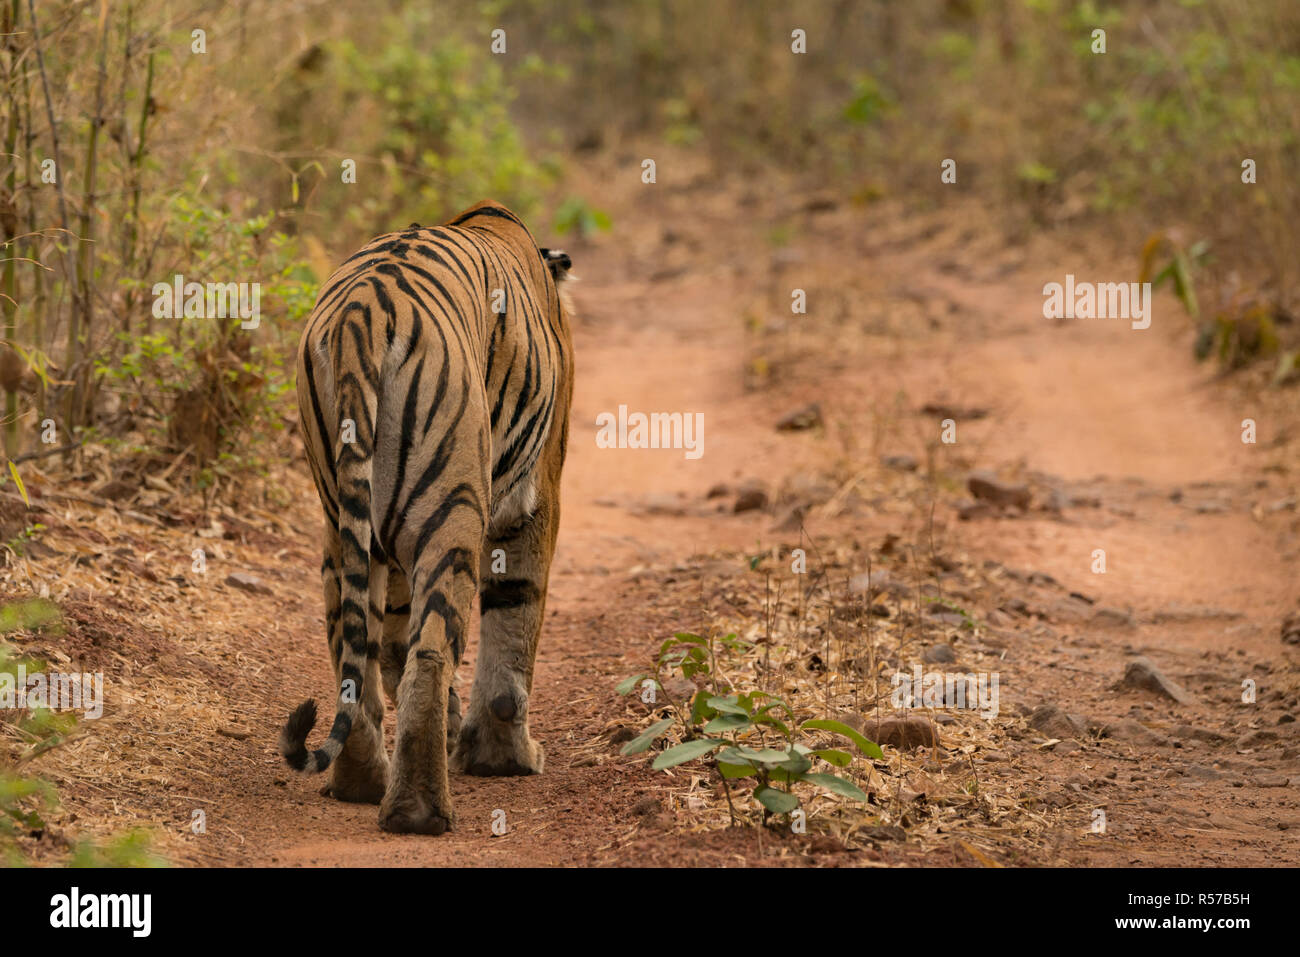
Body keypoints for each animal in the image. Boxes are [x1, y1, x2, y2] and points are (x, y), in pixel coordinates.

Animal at [279, 200, 574, 834]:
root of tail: (362, 311)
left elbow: (390, 643)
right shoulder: (536, 498)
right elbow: (516, 620)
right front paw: (503, 758)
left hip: (342, 524)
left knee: (356, 658)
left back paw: (364, 783)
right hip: (454, 510)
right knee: (431, 655)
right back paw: (418, 811)